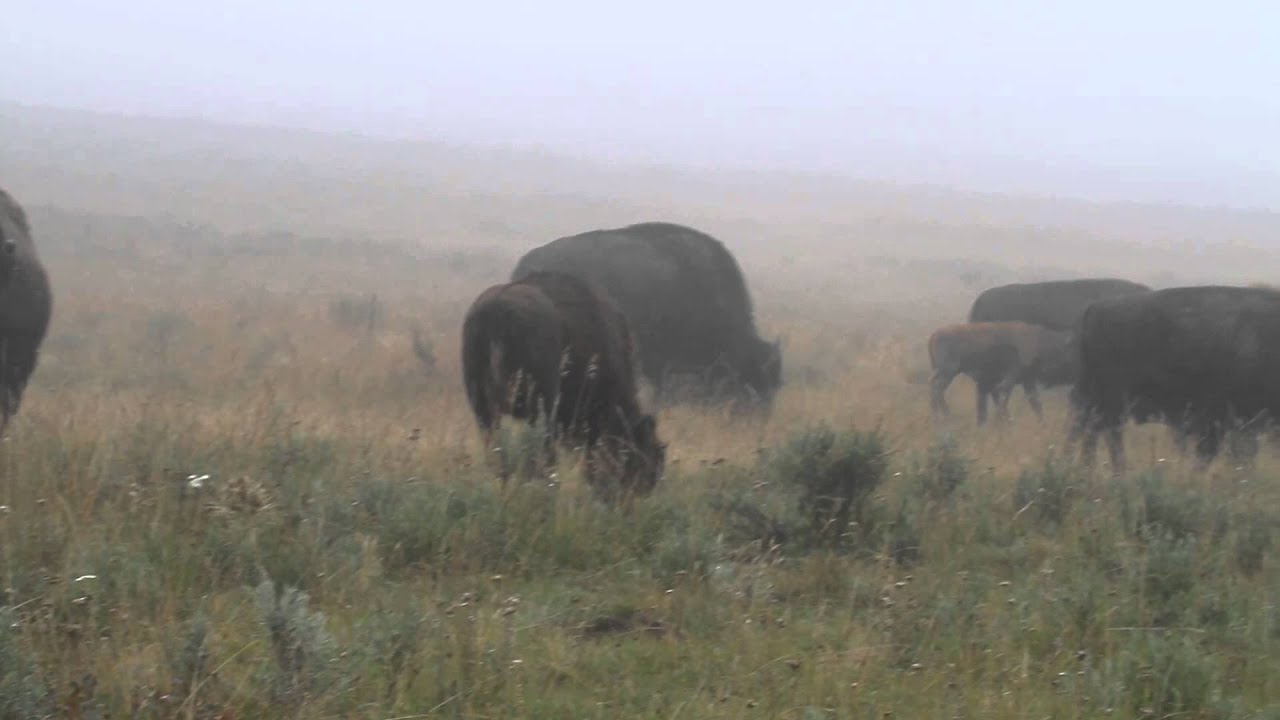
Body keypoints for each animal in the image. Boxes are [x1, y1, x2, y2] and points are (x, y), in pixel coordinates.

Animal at [929, 321, 1077, 424]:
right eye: (1066, 350)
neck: (1037, 340)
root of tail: (935, 333)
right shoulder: (1011, 377)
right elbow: (1003, 397)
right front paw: (1004, 421)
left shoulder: (1028, 381)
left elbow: (1036, 403)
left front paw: (1041, 422)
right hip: (949, 371)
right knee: (937, 389)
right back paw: (945, 414)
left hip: (942, 372)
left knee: (933, 386)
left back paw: (937, 416)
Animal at [1070, 285, 1280, 473]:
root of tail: (1095, 309)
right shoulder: (1231, 420)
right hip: (1113, 402)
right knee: (1108, 434)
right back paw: (1117, 472)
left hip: (1095, 400)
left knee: (1091, 433)